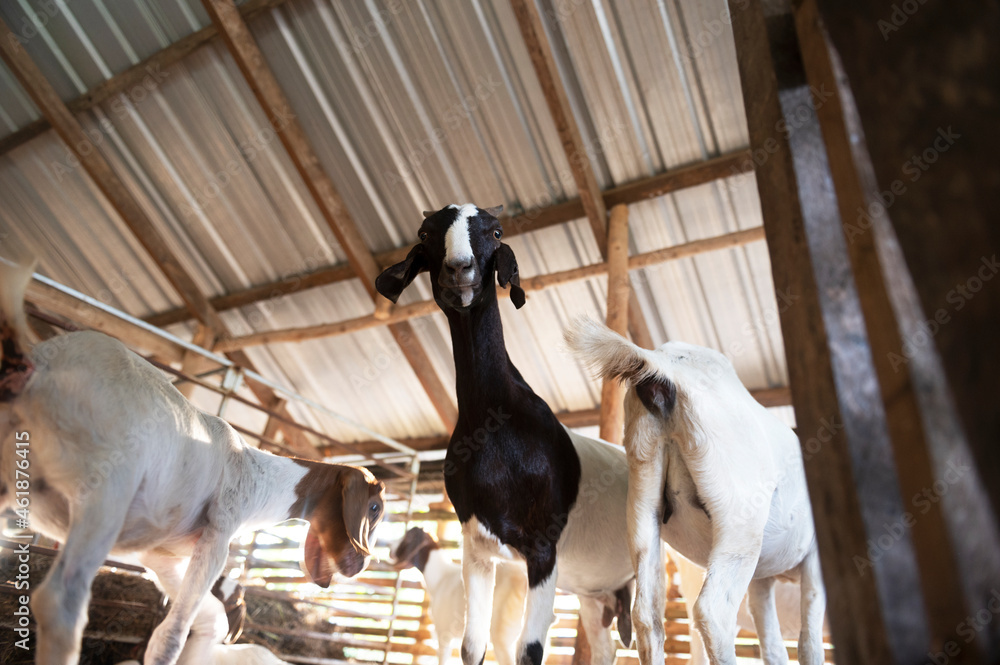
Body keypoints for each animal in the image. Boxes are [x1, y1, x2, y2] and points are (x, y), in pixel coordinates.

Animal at [0, 261, 386, 665]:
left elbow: (206, 621)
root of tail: (37, 366)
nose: (359, 565)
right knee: (61, 601)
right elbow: (171, 636)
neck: (258, 476)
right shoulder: (218, 534)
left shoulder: (158, 556)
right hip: (104, 491)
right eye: (374, 508)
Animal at [566, 318, 826, 665]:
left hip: (643, 493)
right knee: (713, 612)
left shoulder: (762, 578)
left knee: (647, 616)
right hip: (739, 524)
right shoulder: (814, 560)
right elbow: (808, 641)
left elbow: (773, 646)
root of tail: (663, 368)